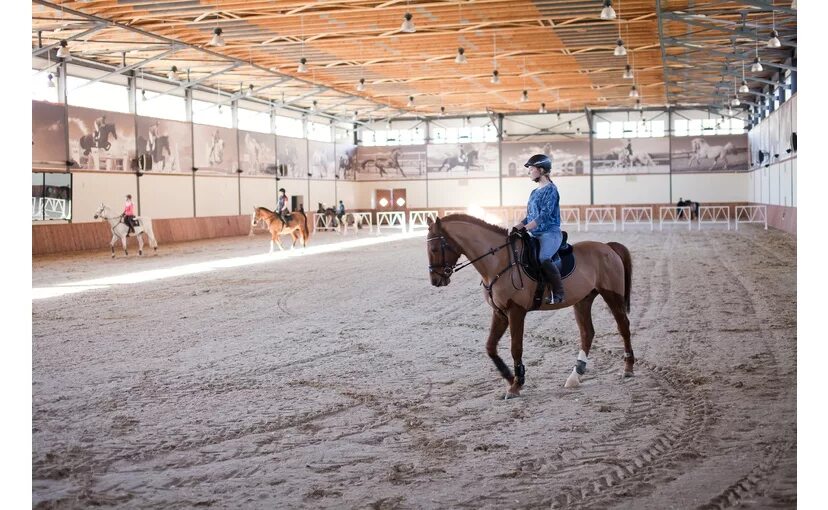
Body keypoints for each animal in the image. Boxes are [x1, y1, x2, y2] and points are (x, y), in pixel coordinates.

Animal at [426, 215, 632, 398]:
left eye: (435, 249)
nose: (436, 280)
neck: (499, 261)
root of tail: (608, 247)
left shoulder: (516, 311)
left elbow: (516, 347)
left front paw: (516, 385)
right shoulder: (499, 313)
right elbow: (490, 347)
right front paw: (510, 378)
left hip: (612, 294)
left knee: (623, 326)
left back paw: (628, 368)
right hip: (583, 300)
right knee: (587, 333)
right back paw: (574, 377)